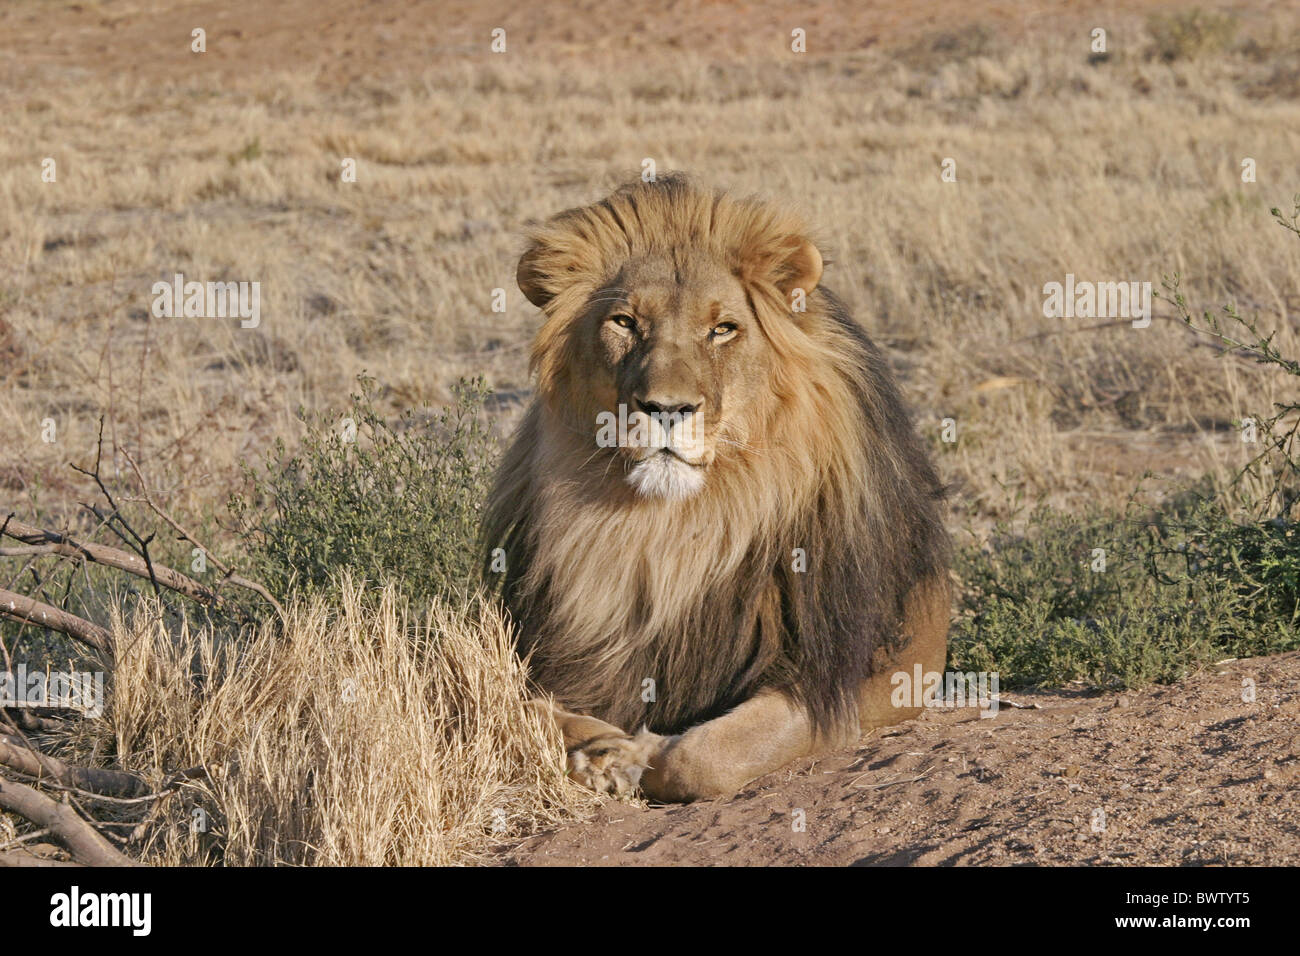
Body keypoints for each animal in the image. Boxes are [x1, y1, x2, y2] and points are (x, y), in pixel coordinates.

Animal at [483, 175, 951, 802]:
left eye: (723, 329)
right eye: (625, 323)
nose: (666, 408)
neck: (679, 528)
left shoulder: (855, 675)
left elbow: (713, 755)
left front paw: (642, 752)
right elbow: (519, 705)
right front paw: (601, 750)